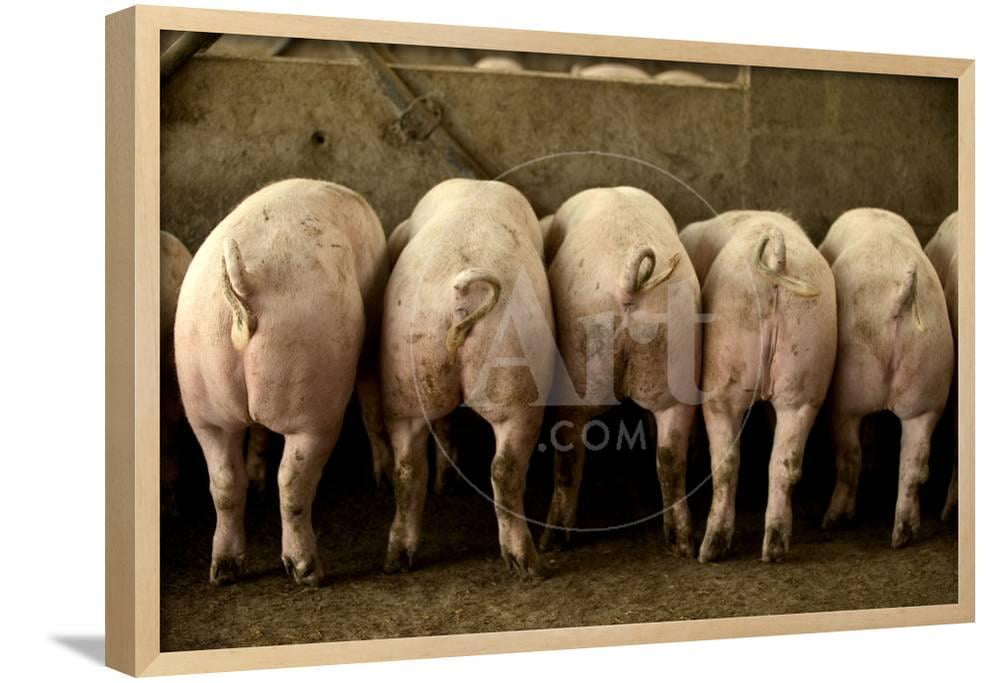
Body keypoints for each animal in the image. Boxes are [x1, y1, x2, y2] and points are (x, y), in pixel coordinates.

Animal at [174, 179, 389, 586]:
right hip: (312, 397)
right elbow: (371, 401)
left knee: (224, 482)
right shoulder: (370, 347)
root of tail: (245, 290)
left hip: (201, 392)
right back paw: (309, 572)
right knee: (292, 482)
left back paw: (224, 570)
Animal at [381, 178, 555, 577]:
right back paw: (531, 566)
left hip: (406, 374)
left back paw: (397, 560)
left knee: (408, 469)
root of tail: (460, 296)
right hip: (515, 376)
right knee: (504, 470)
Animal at [537, 187, 701, 557]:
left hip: (576, 369)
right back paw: (682, 545)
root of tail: (629, 283)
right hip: (677, 357)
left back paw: (551, 542)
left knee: (568, 460)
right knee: (670, 457)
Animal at [680, 211, 837, 563]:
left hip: (723, 363)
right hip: (806, 368)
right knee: (785, 463)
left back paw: (709, 551)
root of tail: (775, 256)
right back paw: (773, 550)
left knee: (725, 463)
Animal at [819, 208, 953, 547]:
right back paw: (903, 536)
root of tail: (900, 297)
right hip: (928, 384)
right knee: (915, 463)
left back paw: (833, 521)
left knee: (849, 455)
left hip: (848, 392)